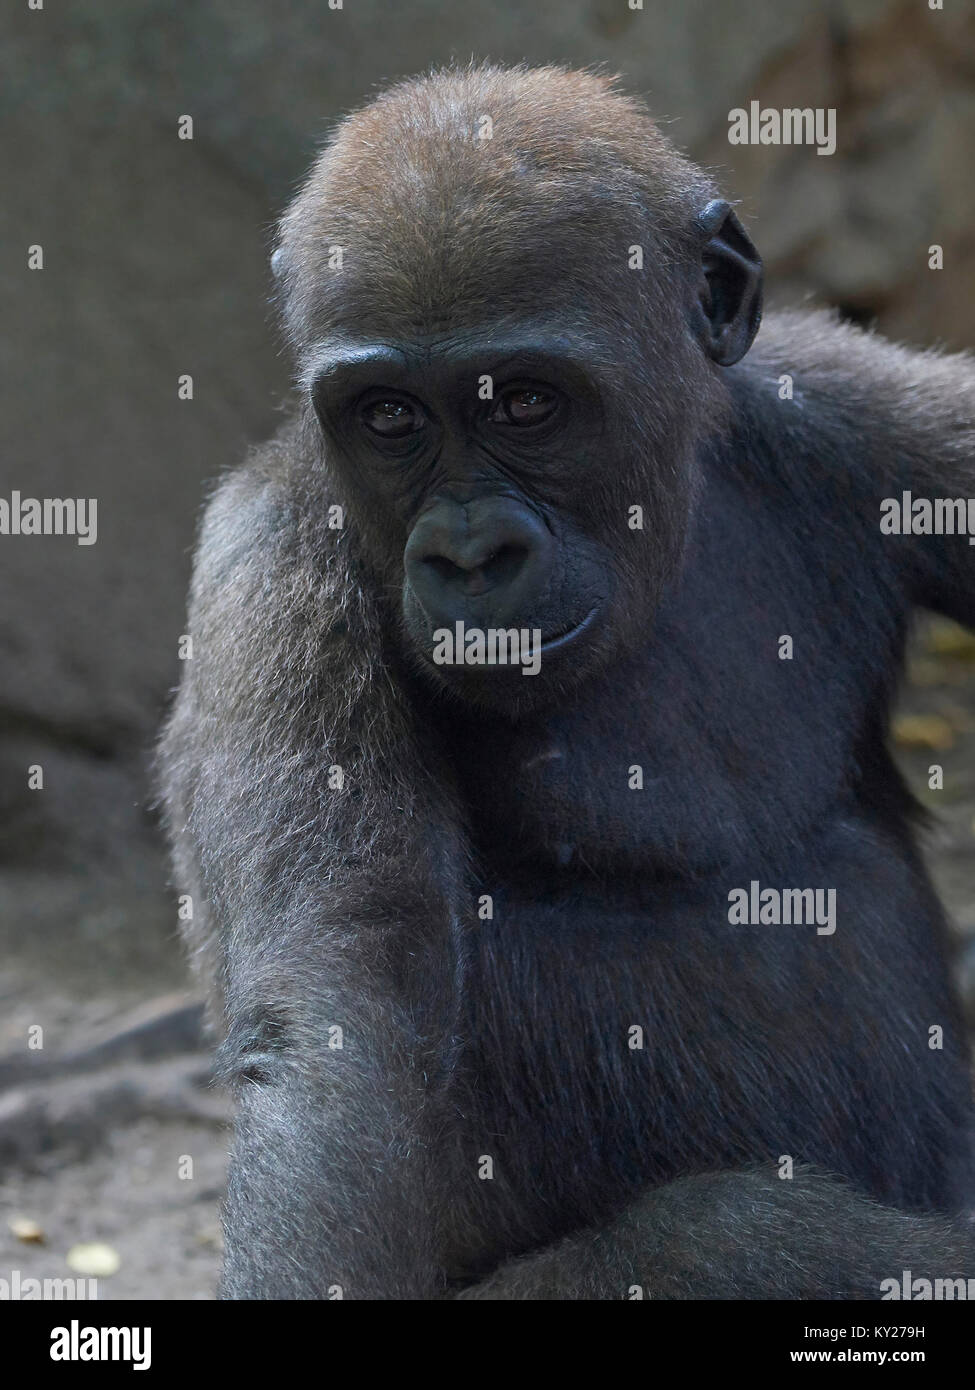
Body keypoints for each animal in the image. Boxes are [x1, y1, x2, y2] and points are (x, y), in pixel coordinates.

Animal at [159, 64, 975, 1299]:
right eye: (389, 417)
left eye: (525, 403)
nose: (467, 554)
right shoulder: (275, 560)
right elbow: (332, 1038)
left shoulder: (846, 404)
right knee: (726, 1237)